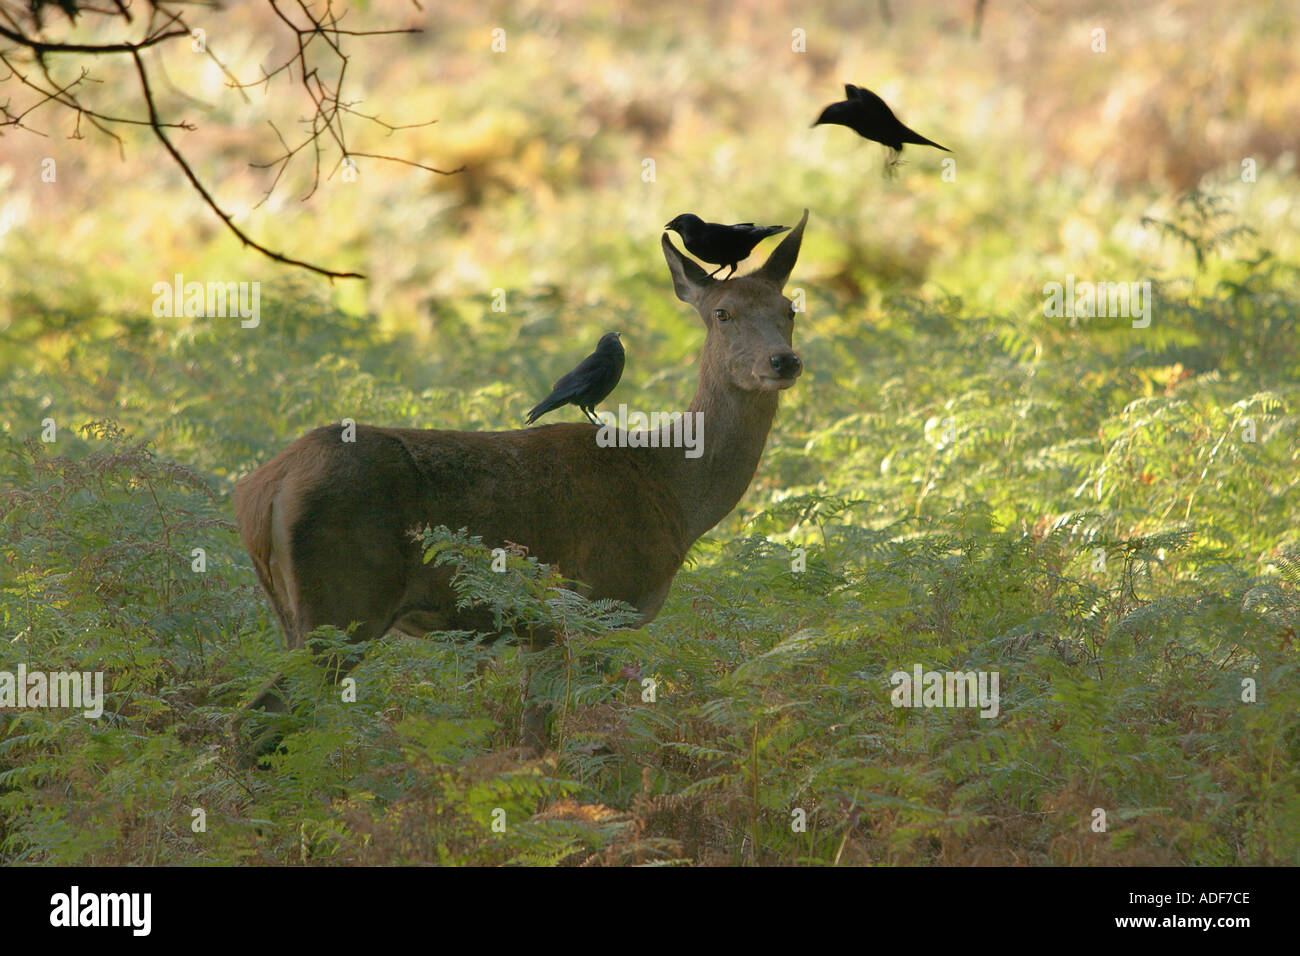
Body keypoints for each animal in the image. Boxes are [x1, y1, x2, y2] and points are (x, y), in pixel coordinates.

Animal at [232, 209, 808, 749]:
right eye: (722, 313)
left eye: (789, 309)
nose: (783, 360)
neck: (675, 489)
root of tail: (263, 490)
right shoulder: (594, 604)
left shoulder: (542, 631)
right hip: (343, 602)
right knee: (251, 723)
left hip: (292, 611)